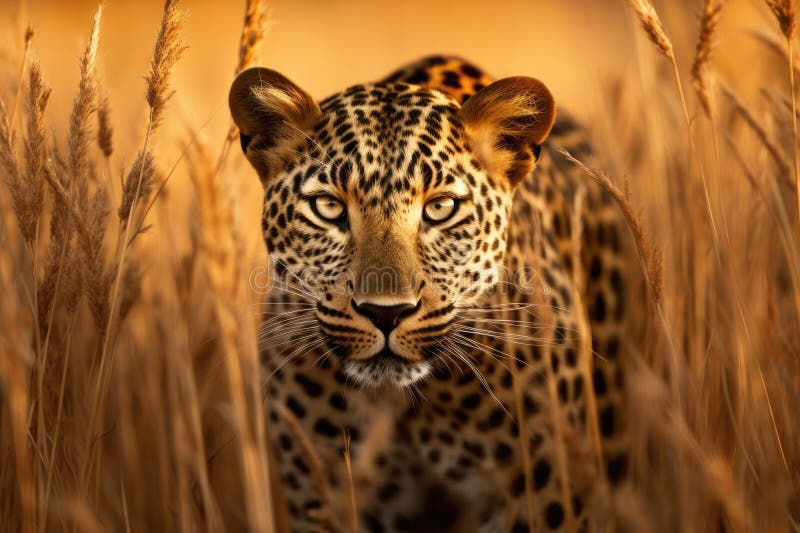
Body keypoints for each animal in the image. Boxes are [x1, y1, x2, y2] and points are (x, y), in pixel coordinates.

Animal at [229, 55, 636, 532]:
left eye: (440, 208)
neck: (411, 404)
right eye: (328, 207)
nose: (386, 313)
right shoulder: (325, 491)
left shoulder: (546, 496)